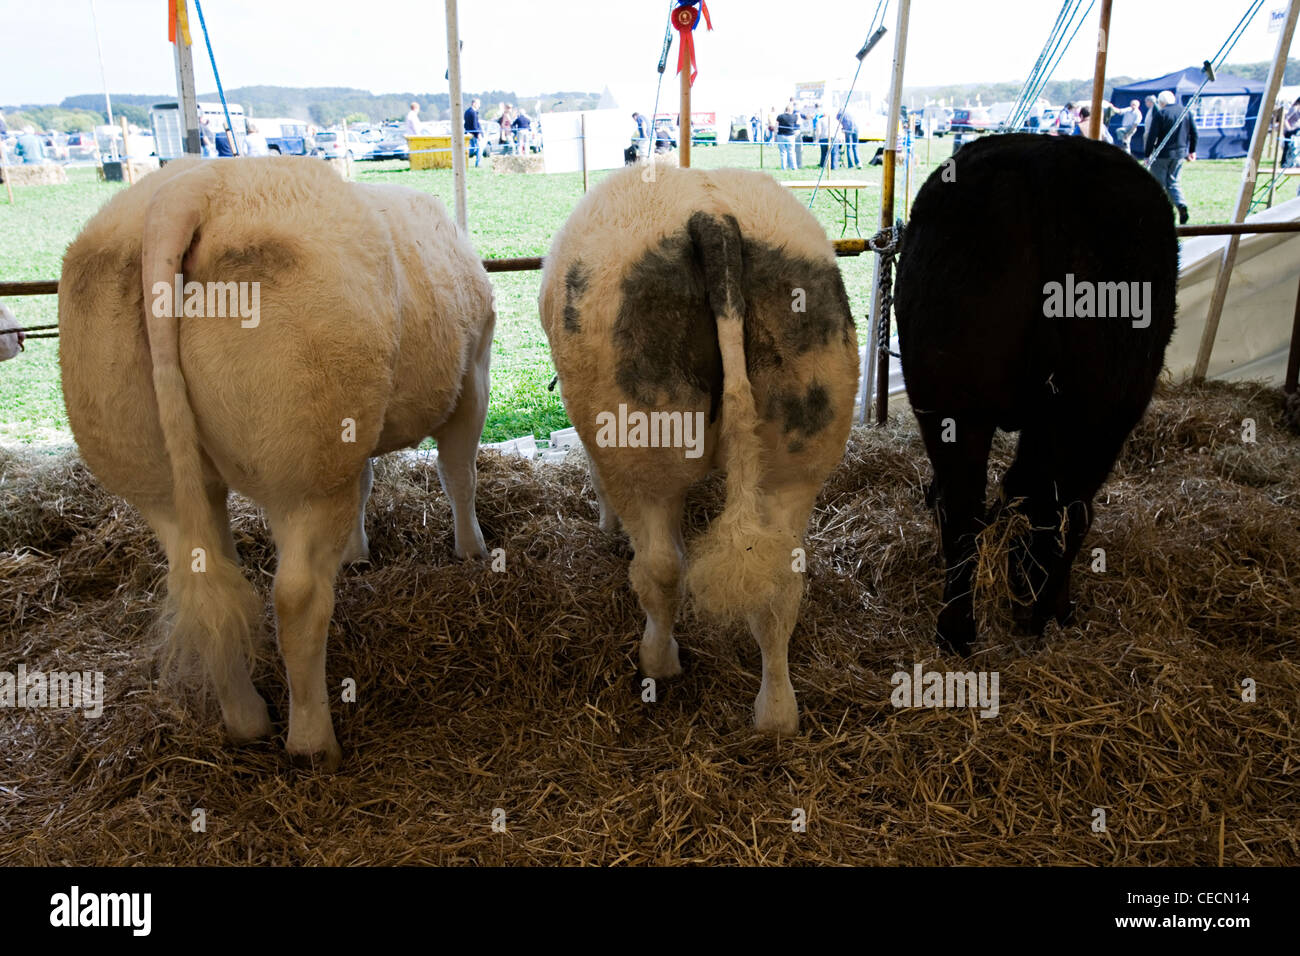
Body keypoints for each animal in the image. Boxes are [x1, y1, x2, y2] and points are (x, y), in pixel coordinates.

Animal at [59, 156, 496, 770]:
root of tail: (188, 190)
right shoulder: (471, 379)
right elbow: (459, 475)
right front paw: (471, 550)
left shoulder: (356, 434)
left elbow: (367, 482)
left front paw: (356, 553)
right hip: (305, 475)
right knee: (296, 600)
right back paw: (312, 742)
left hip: (154, 474)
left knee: (204, 583)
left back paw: (246, 720)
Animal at [540, 165, 859, 734]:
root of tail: (712, 216)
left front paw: (607, 523)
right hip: (799, 448)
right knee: (782, 584)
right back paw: (776, 713)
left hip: (645, 445)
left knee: (662, 566)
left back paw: (658, 661)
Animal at [894, 133, 1178, 653]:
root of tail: (1048, 164)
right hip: (1102, 408)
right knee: (1060, 509)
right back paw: (1031, 613)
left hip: (960, 404)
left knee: (974, 509)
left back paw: (963, 628)